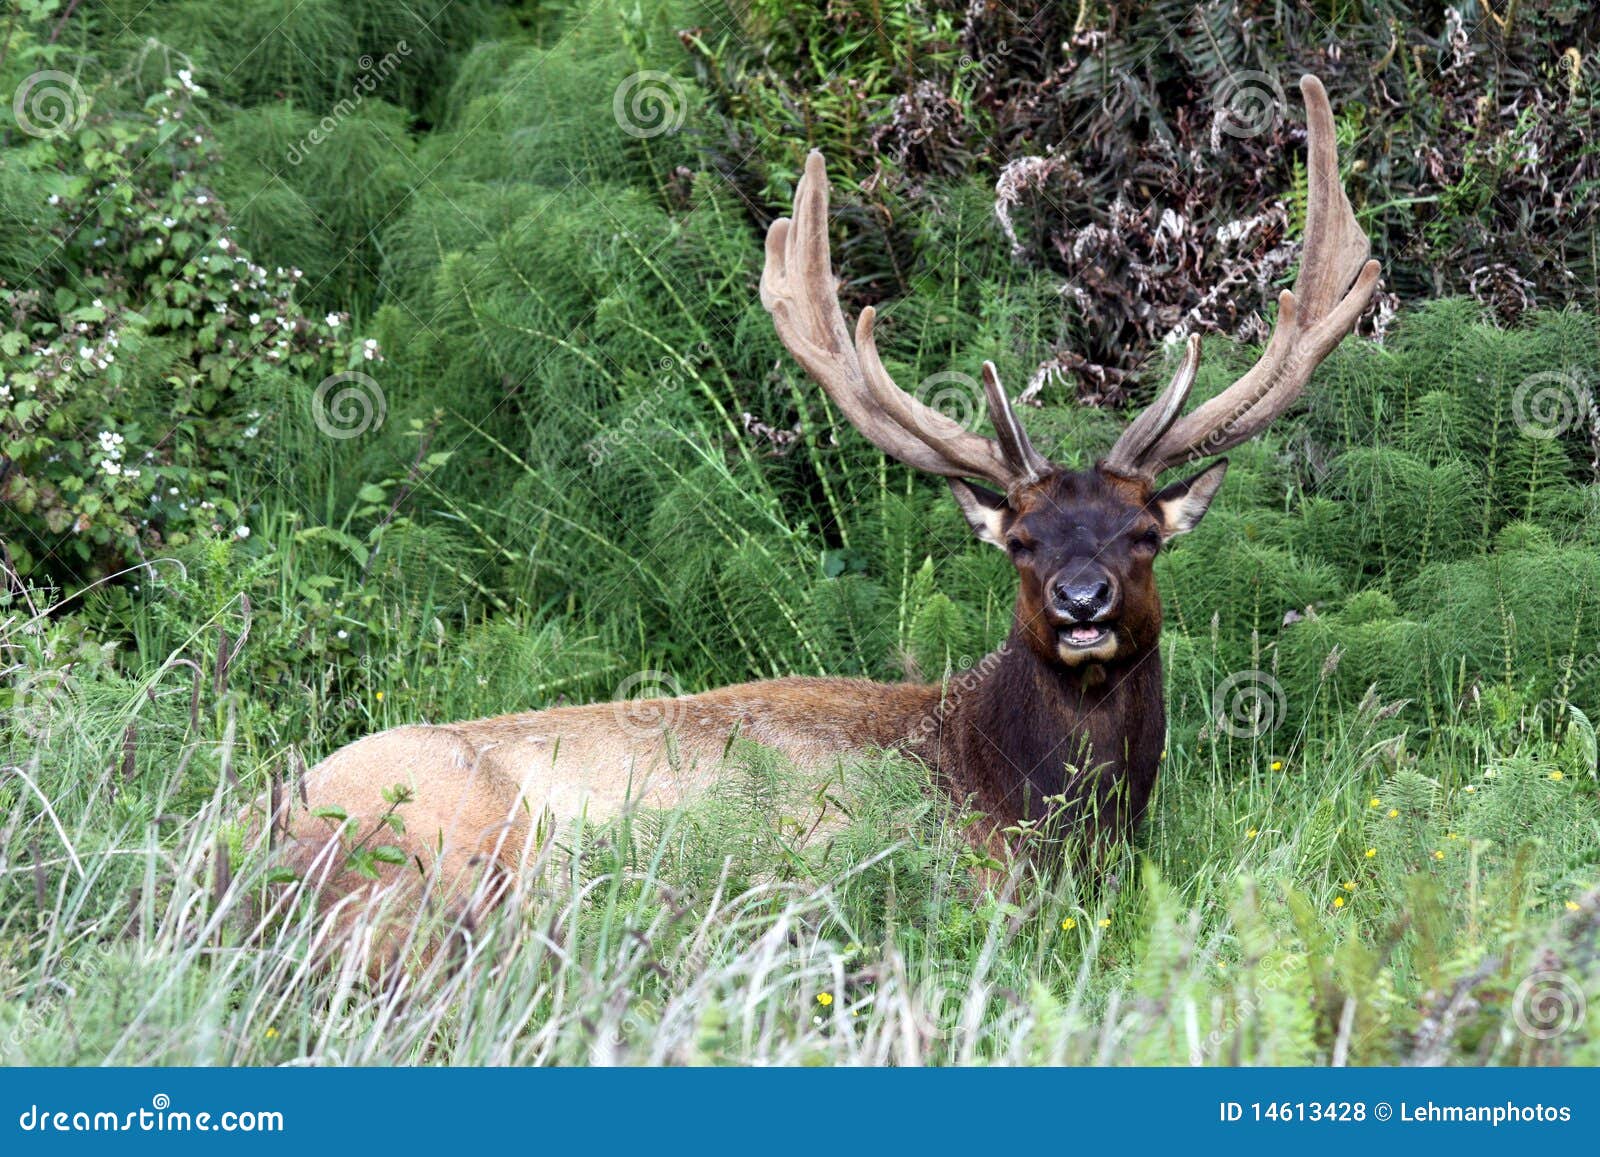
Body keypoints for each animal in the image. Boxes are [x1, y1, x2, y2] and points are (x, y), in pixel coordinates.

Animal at [261, 75, 1378, 962]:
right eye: (1020, 541)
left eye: (1143, 532)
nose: (1080, 600)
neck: (1014, 800)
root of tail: (259, 829)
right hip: (443, 852)